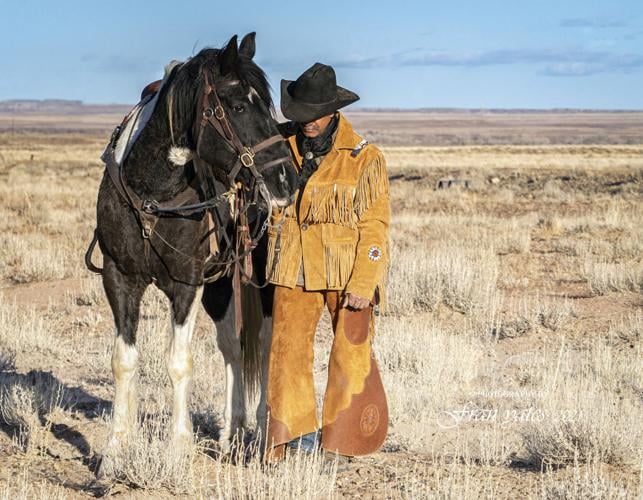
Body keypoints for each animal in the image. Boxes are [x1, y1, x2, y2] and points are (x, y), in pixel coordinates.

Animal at [87, 33, 298, 476]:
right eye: (238, 106)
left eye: (268, 104)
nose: (286, 179)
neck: (152, 194)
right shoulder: (119, 278)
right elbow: (123, 360)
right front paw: (114, 451)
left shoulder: (185, 285)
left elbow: (178, 361)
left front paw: (178, 449)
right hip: (220, 284)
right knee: (232, 347)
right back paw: (231, 433)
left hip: (261, 277)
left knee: (265, 343)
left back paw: (263, 432)